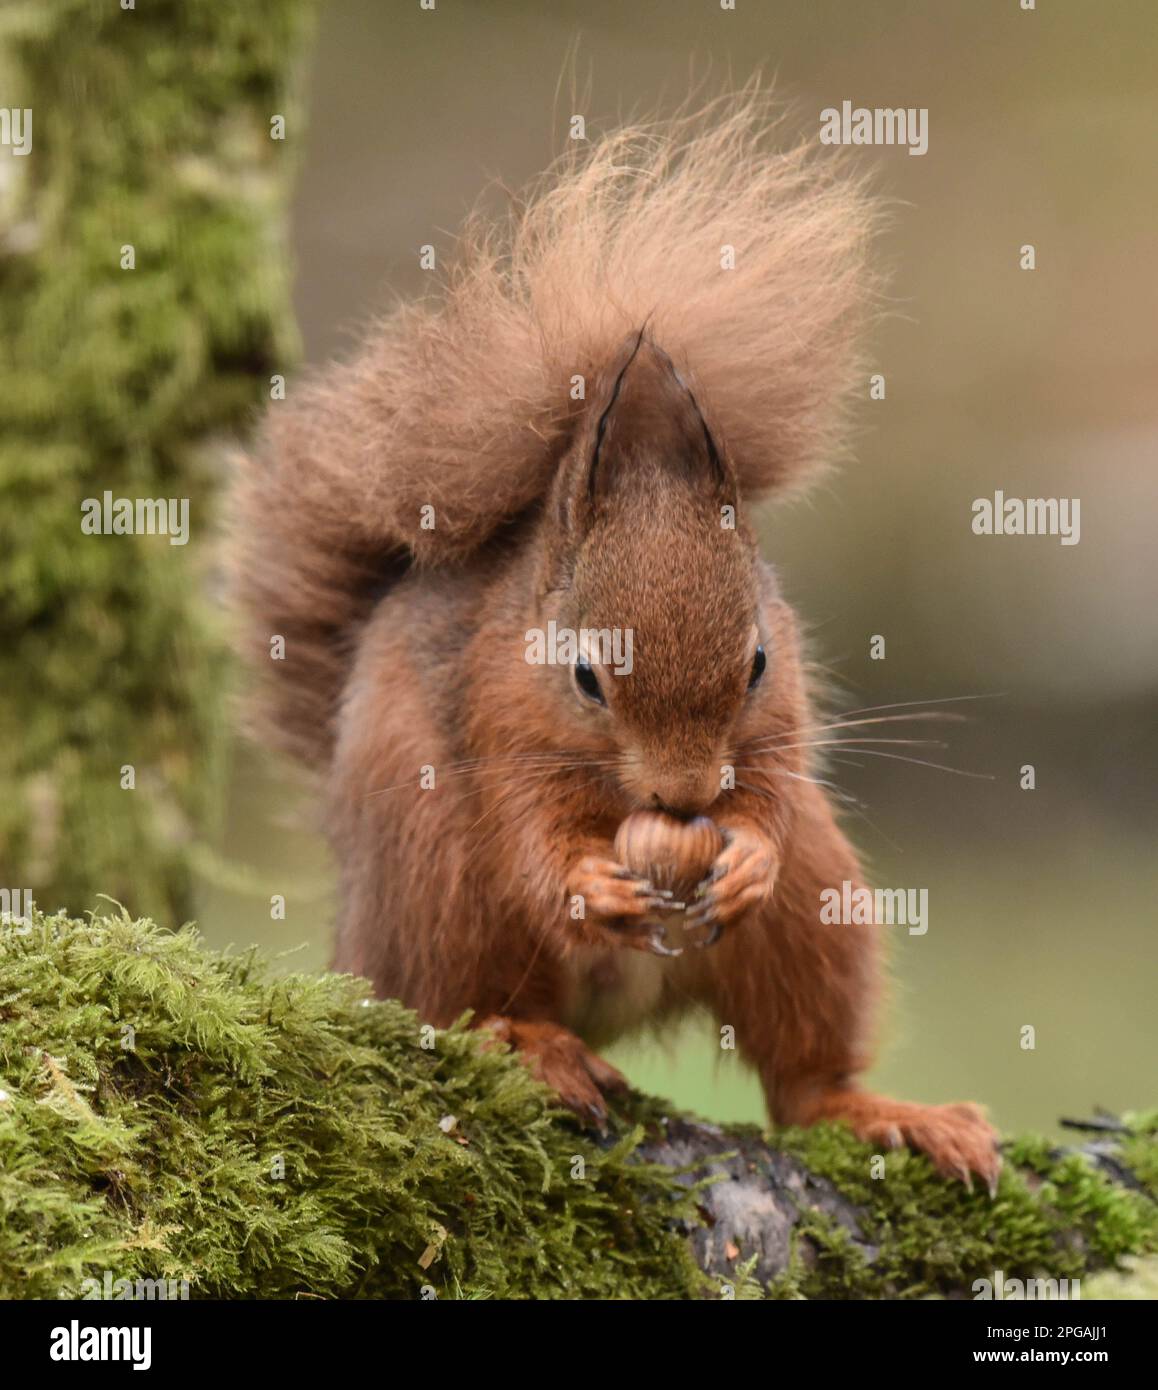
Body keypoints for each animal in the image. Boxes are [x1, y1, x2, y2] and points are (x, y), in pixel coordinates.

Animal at [231, 94, 1000, 1187]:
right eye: (586, 676)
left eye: (759, 661)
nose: (683, 797)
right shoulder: (499, 718)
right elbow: (532, 836)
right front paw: (586, 879)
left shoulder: (781, 731)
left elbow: (770, 794)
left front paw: (745, 856)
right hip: (434, 879)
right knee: (453, 1007)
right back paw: (529, 1044)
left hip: (819, 911)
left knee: (804, 1081)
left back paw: (886, 1112)